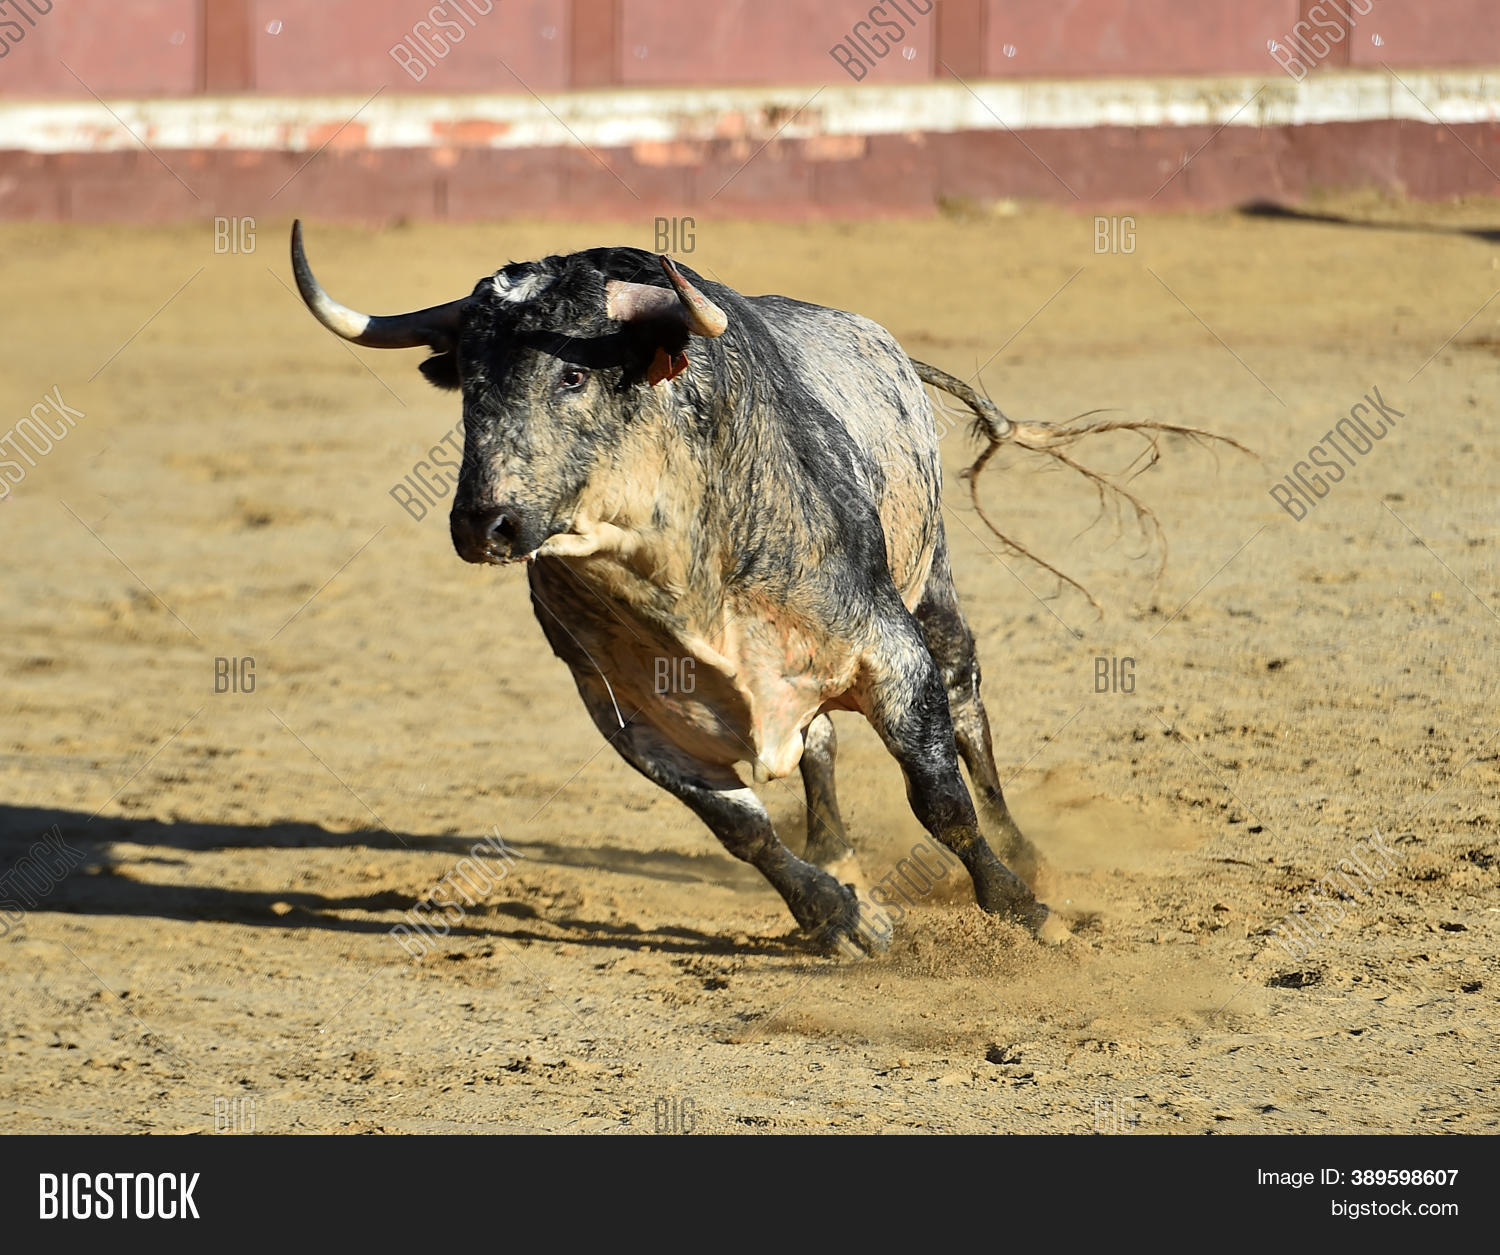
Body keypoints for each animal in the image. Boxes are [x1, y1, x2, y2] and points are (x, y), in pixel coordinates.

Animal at [291, 221, 1069, 957]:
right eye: (469, 381)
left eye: (573, 375)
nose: (485, 523)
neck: (683, 580)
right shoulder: (634, 716)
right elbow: (740, 827)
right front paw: (840, 918)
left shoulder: (890, 650)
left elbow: (941, 797)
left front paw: (1024, 907)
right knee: (818, 746)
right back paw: (840, 863)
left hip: (932, 582)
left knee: (965, 701)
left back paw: (1027, 854)